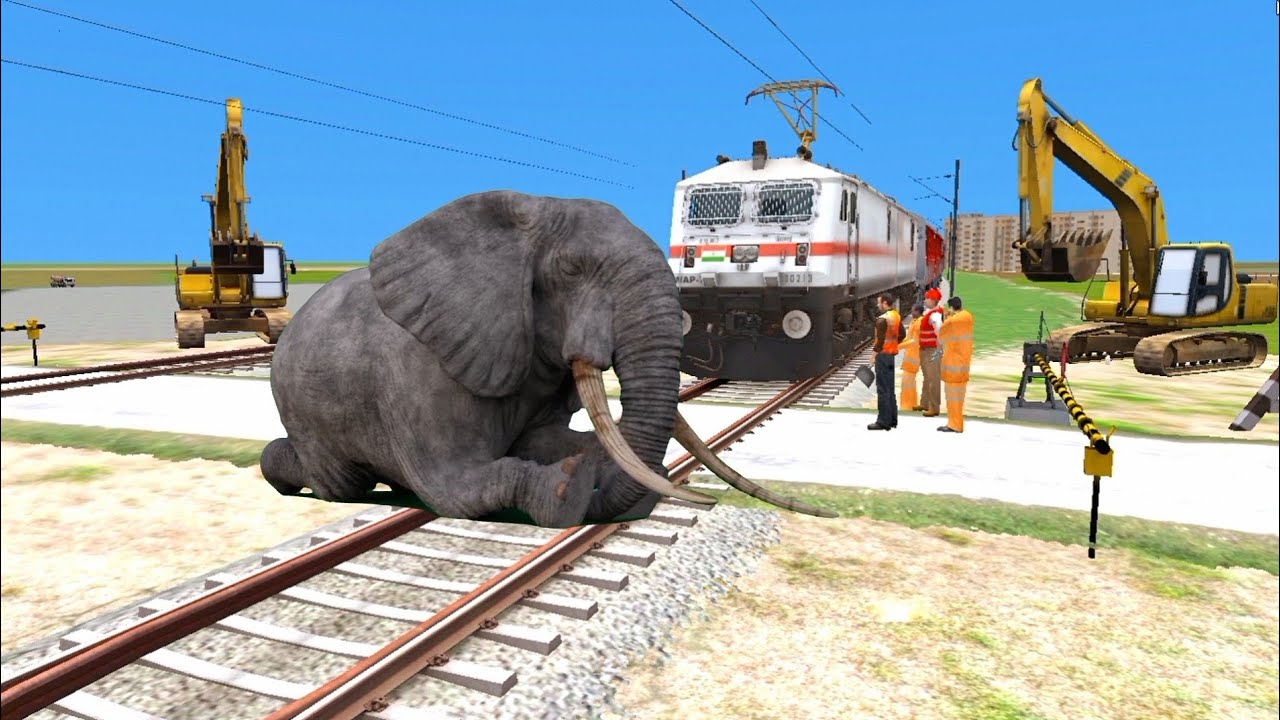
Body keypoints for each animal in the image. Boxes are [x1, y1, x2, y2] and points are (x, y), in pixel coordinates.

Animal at [260, 190, 835, 527]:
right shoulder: (416, 374)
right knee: (340, 481)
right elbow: (453, 488)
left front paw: (612, 468)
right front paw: (569, 488)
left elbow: (543, 442)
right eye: (573, 270)